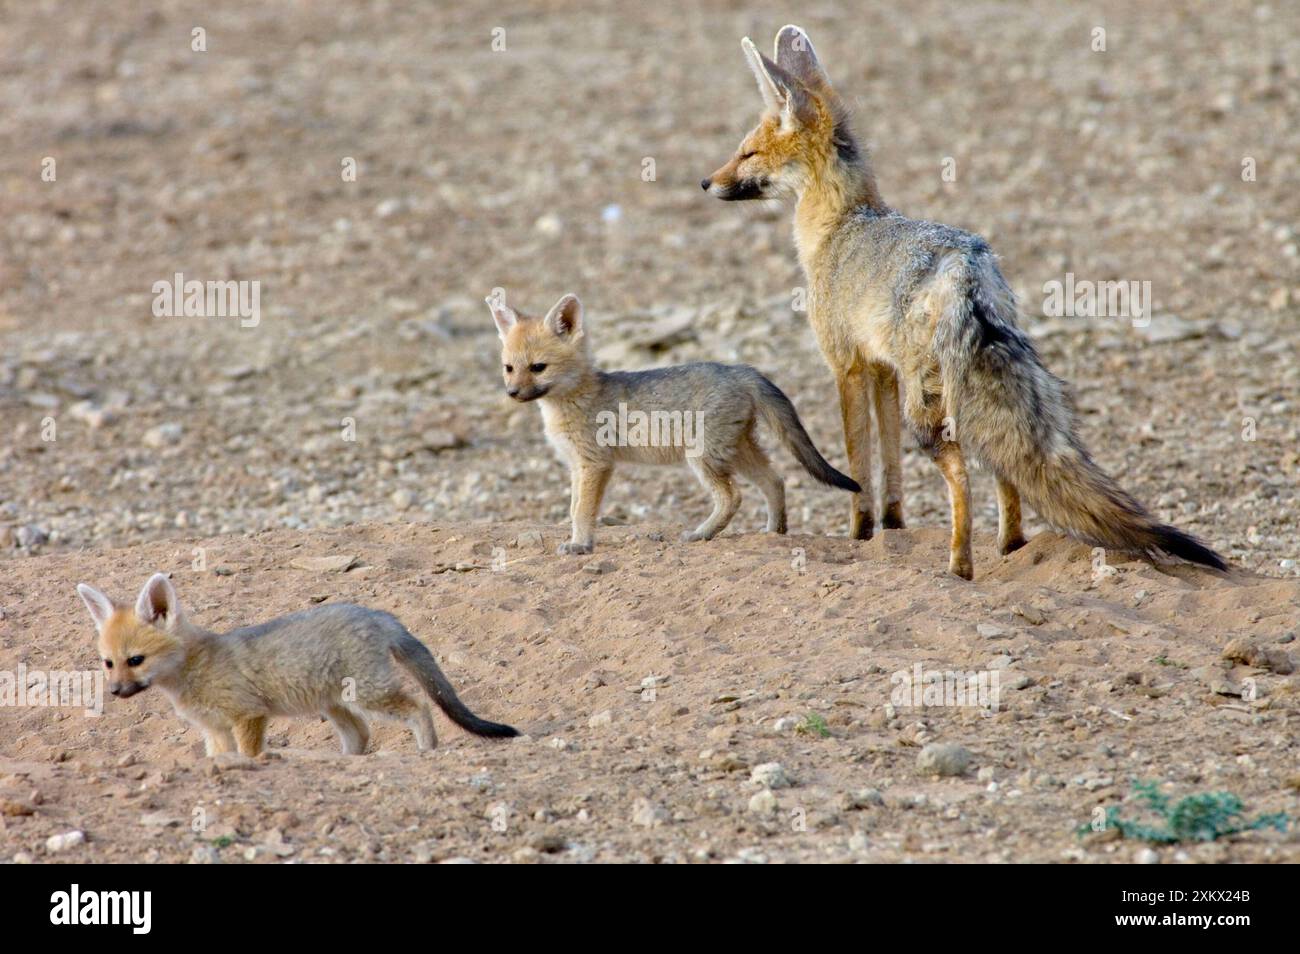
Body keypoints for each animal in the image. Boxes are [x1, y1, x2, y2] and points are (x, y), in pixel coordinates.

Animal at [75, 573, 518, 756]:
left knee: (419, 706)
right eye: (108, 663)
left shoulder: (248, 716)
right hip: (336, 705)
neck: (194, 667)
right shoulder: (215, 730)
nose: (115, 691)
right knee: (360, 736)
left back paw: (427, 750)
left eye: (136, 660)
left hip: (371, 695)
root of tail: (378, 614)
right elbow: (221, 758)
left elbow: (250, 755)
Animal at [485, 291, 860, 554]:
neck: (571, 401)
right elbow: (574, 505)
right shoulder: (577, 467)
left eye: (538, 368)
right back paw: (773, 532)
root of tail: (741, 369)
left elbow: (583, 510)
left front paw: (580, 544)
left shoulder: (595, 464)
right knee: (775, 481)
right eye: (509, 368)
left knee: (733, 497)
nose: (512, 393)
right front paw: (577, 539)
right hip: (736, 452)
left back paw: (702, 533)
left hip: (703, 458)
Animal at [701, 25, 1226, 579]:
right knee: (1004, 469)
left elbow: (858, 461)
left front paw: (860, 533)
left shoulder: (846, 366)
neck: (842, 224)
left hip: (929, 411)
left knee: (964, 474)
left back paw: (960, 564)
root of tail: (968, 265)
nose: (706, 182)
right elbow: (889, 460)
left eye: (747, 154)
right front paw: (893, 528)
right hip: (952, 395)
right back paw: (1010, 549)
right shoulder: (882, 370)